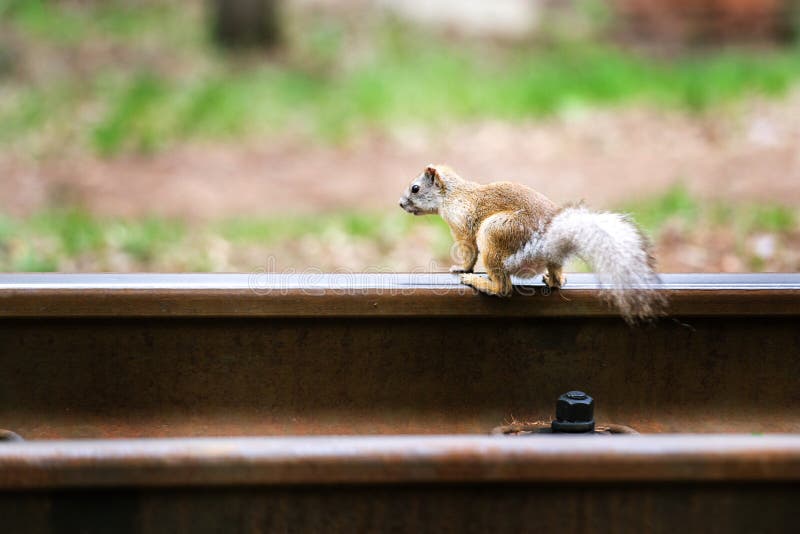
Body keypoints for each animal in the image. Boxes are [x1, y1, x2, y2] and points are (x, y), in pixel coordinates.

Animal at [398, 164, 665, 322]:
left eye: (415, 188)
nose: (401, 203)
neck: (453, 195)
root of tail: (547, 243)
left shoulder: (462, 227)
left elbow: (468, 252)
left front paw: (461, 269)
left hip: (494, 235)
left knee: (503, 288)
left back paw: (479, 282)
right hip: (548, 258)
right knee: (554, 276)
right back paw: (555, 279)